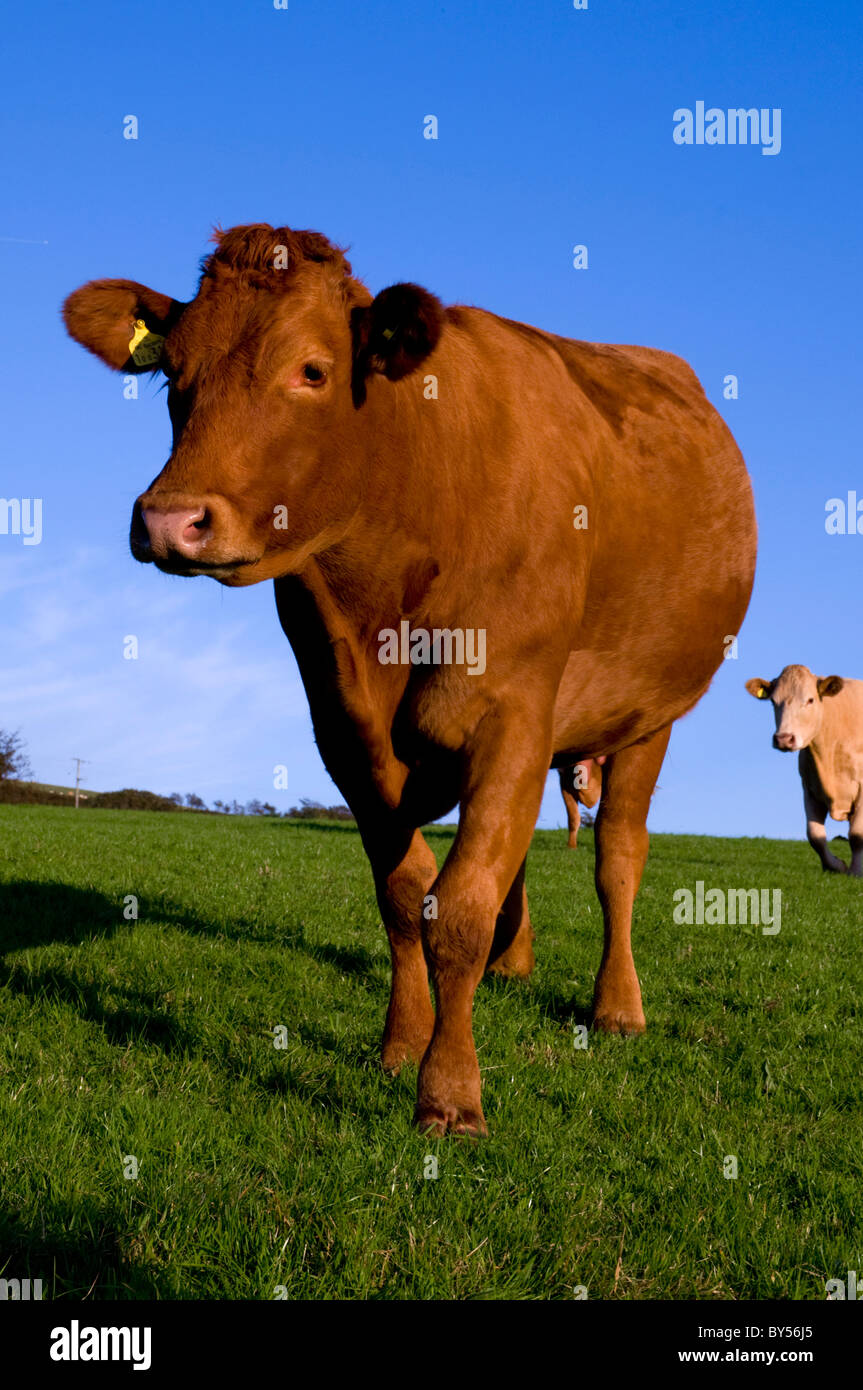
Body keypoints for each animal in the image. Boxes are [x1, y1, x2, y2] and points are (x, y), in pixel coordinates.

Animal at [63, 222, 757, 1135]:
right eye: (172, 375)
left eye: (312, 370)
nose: (171, 520)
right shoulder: (344, 726)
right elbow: (406, 895)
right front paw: (401, 1044)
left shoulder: (512, 708)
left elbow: (458, 907)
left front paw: (451, 1093)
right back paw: (512, 965)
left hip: (649, 714)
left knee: (617, 855)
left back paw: (616, 1008)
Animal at [746, 665, 863, 874]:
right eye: (773, 701)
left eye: (810, 700)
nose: (784, 738)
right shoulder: (809, 788)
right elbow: (815, 835)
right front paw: (834, 866)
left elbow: (857, 835)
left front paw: (856, 872)